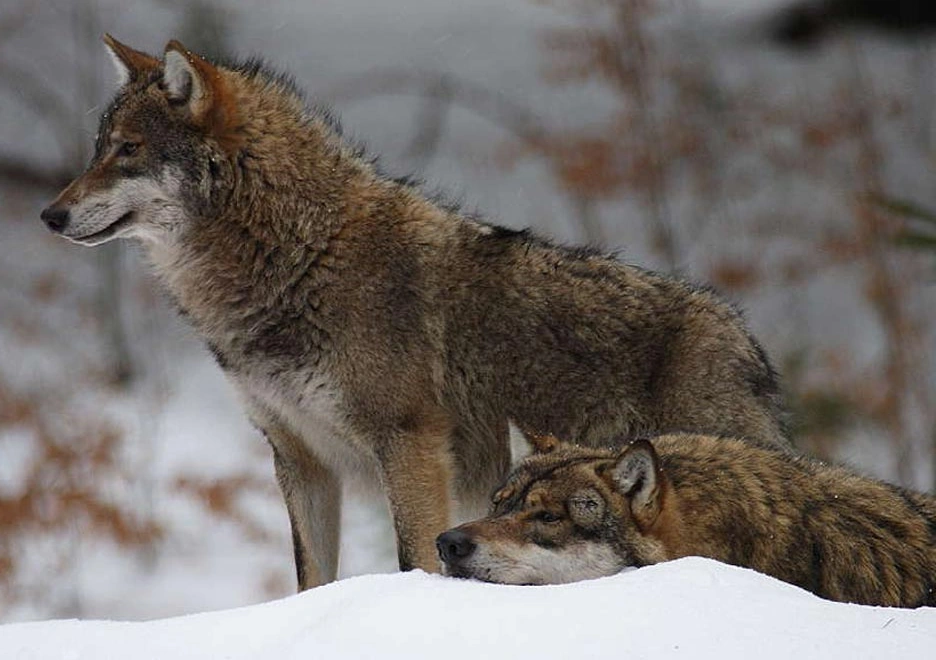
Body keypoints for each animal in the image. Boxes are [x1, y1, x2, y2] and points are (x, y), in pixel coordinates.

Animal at [41, 36, 789, 590]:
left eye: (127, 150)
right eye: (98, 149)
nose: (50, 215)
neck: (298, 256)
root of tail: (748, 341)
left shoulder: (409, 445)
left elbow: (415, 559)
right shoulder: (298, 459)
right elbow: (310, 578)